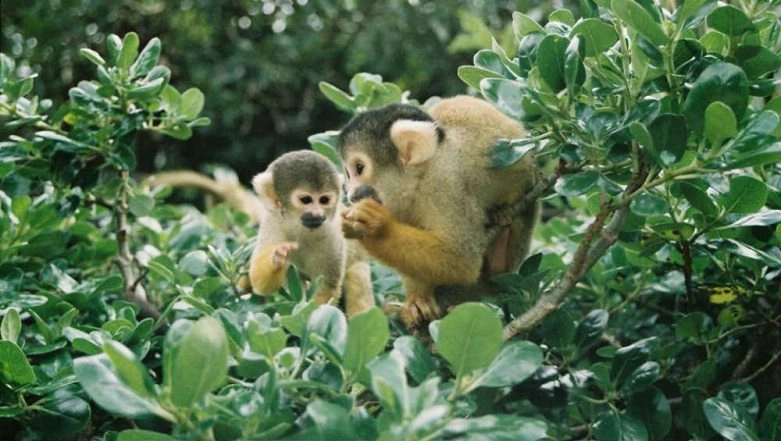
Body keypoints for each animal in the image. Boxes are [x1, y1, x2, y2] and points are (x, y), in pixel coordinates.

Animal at [248, 150, 374, 318]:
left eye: (324, 200)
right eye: (306, 200)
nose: (317, 214)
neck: (301, 227)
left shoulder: (333, 232)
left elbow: (328, 285)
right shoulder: (274, 222)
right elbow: (260, 283)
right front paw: (276, 257)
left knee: (357, 277)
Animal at [338, 95, 540, 329]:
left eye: (359, 168)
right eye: (348, 175)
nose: (350, 194)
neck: (419, 179)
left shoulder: (445, 184)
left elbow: (461, 258)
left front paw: (377, 227)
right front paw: (418, 298)